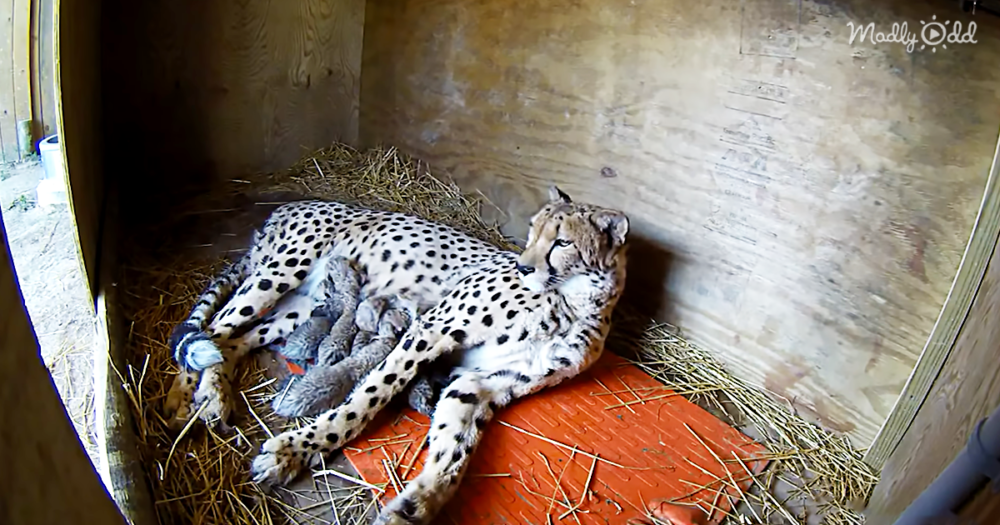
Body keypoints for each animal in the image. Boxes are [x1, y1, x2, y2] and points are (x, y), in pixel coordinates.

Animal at [242, 186, 631, 525]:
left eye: (563, 242)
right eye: (533, 232)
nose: (523, 267)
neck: (573, 303)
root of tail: (293, 203)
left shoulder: (481, 383)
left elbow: (452, 453)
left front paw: (414, 507)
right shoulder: (432, 329)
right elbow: (369, 397)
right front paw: (301, 447)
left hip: (300, 306)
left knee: (239, 339)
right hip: (278, 275)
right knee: (228, 324)